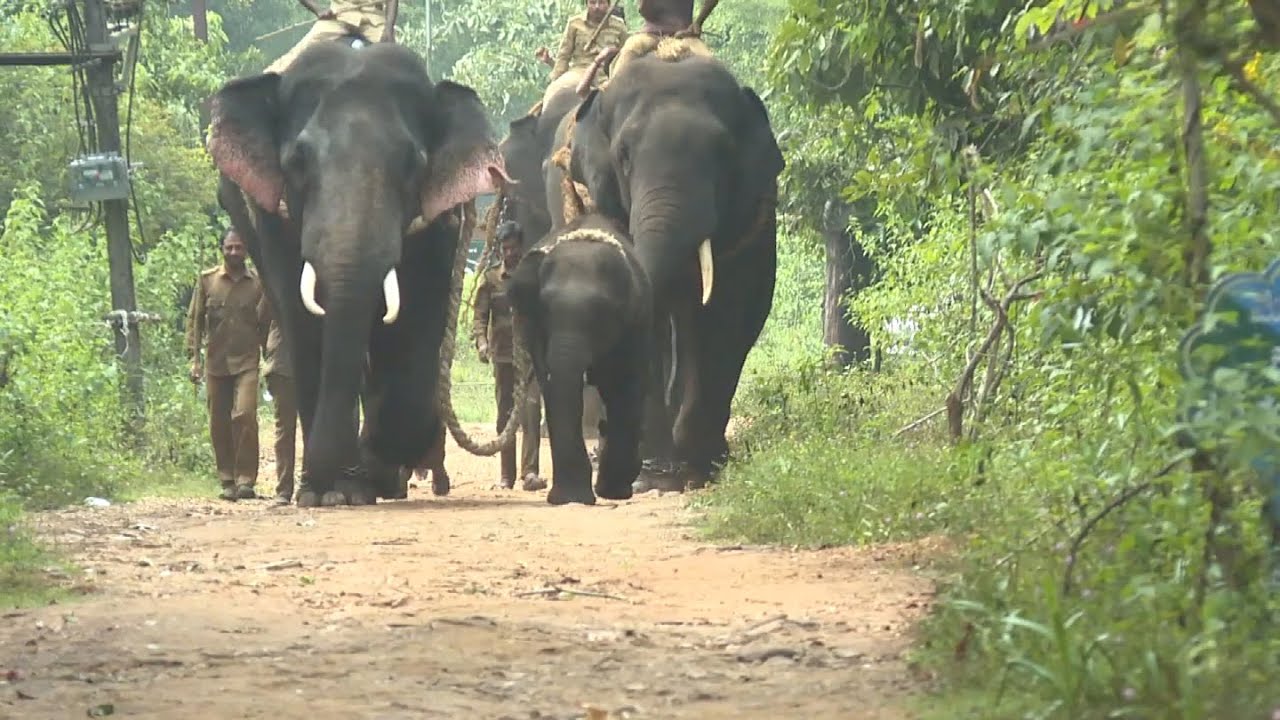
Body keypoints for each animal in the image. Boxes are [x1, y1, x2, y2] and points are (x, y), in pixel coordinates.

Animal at [207, 41, 511, 506]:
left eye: (412, 164)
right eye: (297, 161)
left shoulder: (438, 226)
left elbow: (413, 328)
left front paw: (371, 474)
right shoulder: (274, 221)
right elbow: (303, 321)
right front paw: (327, 493)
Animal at [505, 213, 653, 505]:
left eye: (601, 312)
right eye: (546, 308)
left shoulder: (637, 324)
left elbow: (625, 390)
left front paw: (612, 491)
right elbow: (555, 389)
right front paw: (570, 498)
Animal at [565, 54, 784, 489]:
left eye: (722, 153)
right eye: (624, 155)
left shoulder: (746, 231)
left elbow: (723, 319)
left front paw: (702, 470)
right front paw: (646, 476)